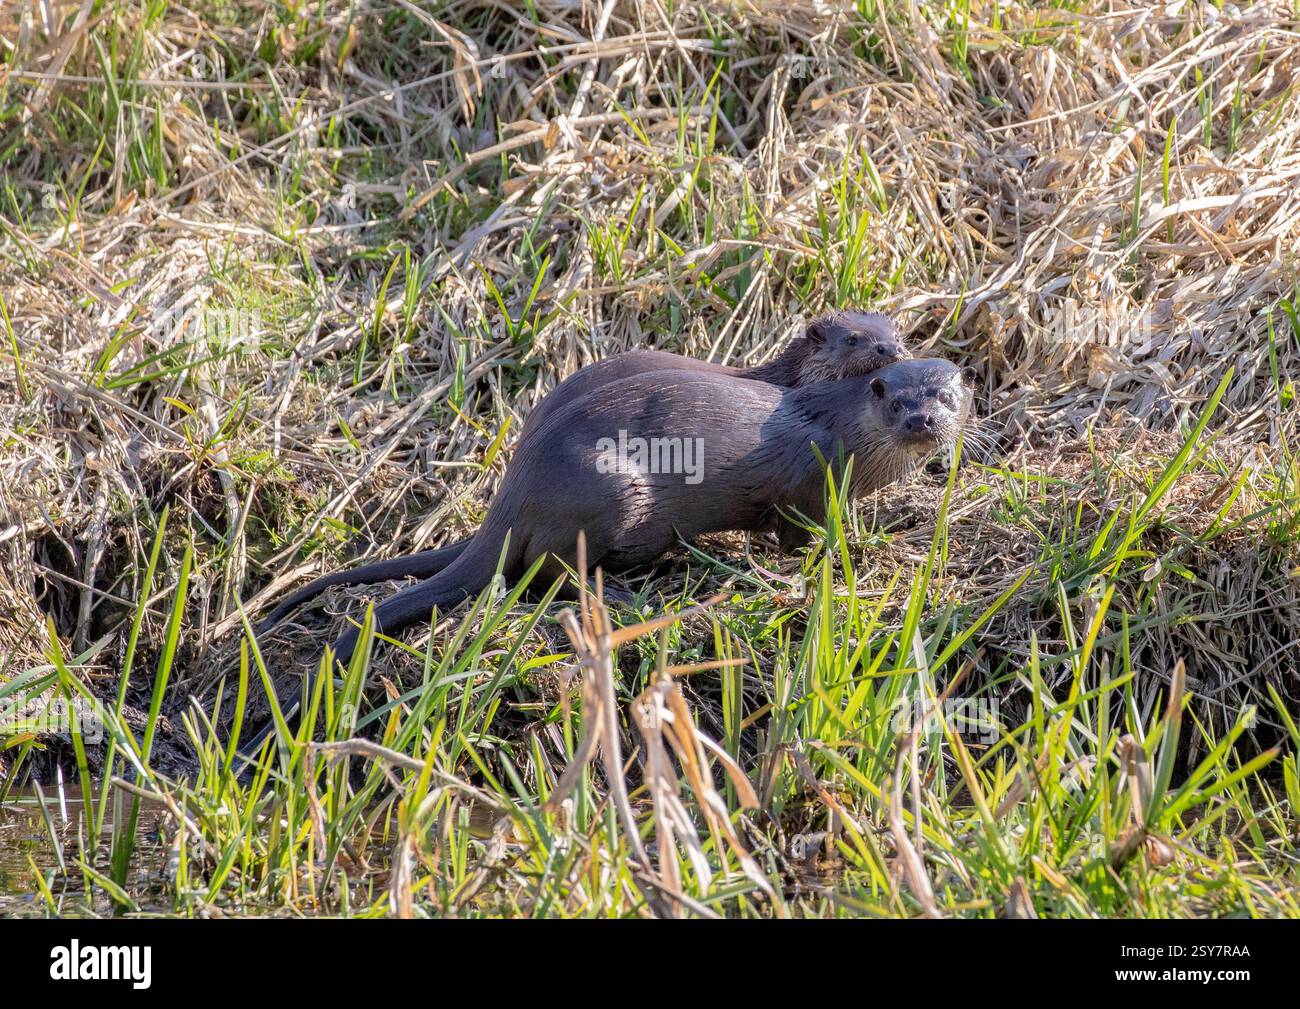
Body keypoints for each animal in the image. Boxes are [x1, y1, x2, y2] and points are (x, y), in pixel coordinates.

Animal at [248, 357, 972, 747]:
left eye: (944, 394)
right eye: (896, 401)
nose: (924, 421)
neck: (842, 433)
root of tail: (515, 490)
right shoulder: (805, 485)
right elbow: (799, 535)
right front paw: (837, 555)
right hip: (614, 489)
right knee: (550, 574)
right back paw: (622, 591)